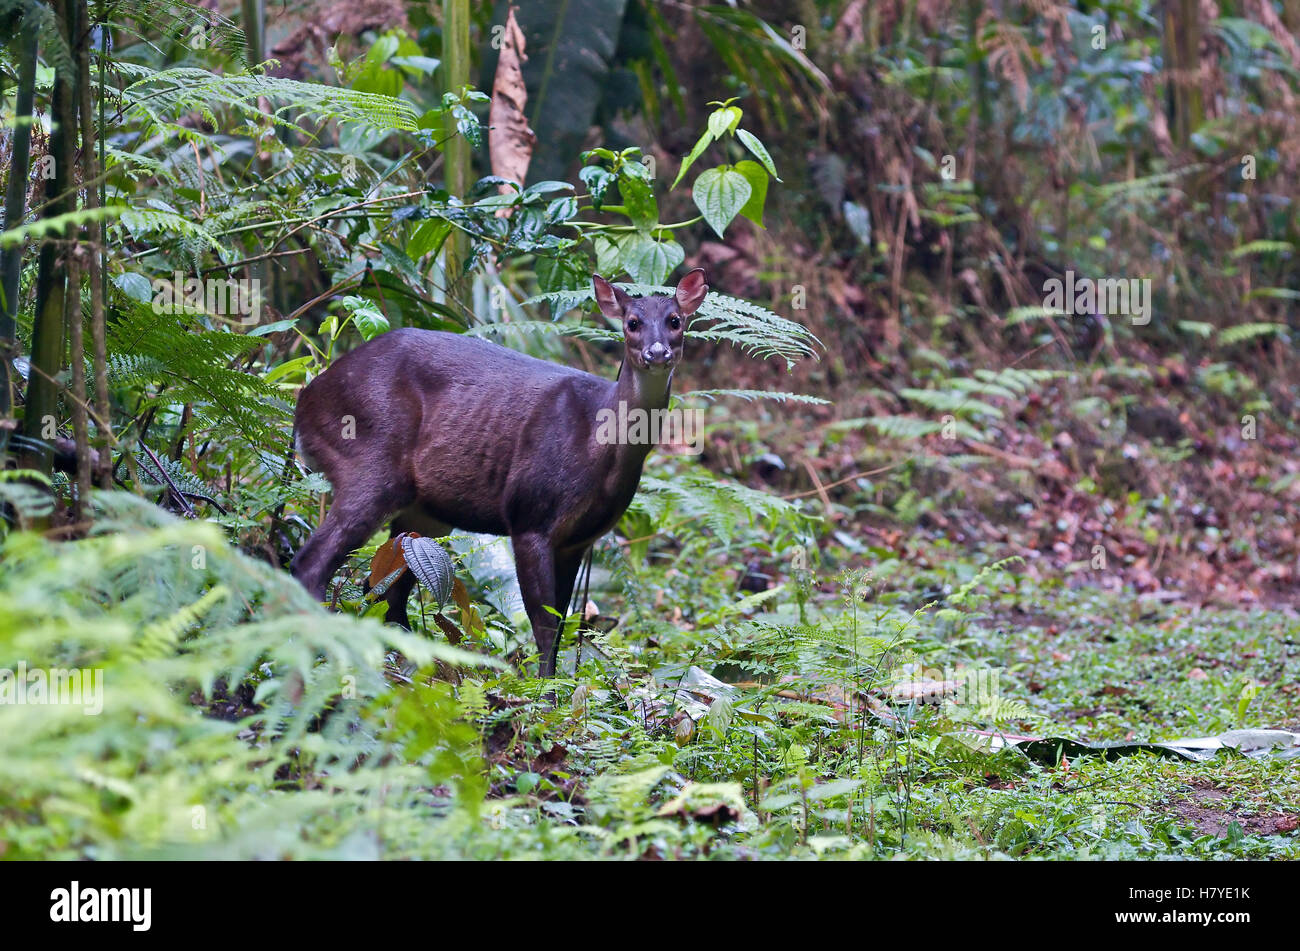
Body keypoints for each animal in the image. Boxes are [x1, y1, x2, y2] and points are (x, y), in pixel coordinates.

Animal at [290, 268, 708, 676]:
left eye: (675, 320)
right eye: (632, 322)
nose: (658, 352)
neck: (599, 444)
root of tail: (305, 400)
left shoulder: (578, 539)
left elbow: (560, 621)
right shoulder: (530, 514)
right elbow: (543, 622)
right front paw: (544, 690)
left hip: (426, 513)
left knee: (383, 591)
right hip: (369, 462)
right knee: (312, 563)